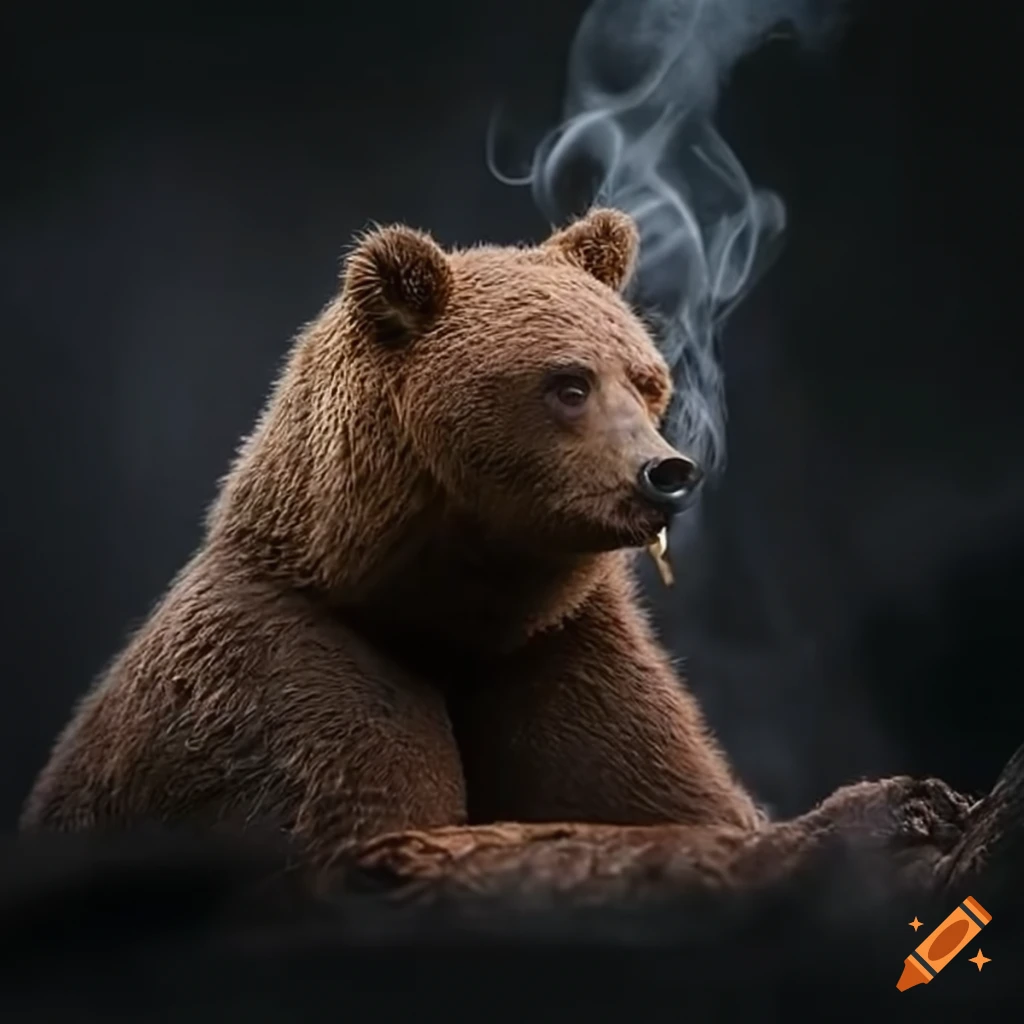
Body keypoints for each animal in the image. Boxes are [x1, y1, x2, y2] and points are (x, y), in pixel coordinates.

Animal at [20, 208, 762, 869]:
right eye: (570, 384)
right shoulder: (284, 683)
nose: (666, 472)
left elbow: (656, 787)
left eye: (646, 381)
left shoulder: (561, 655)